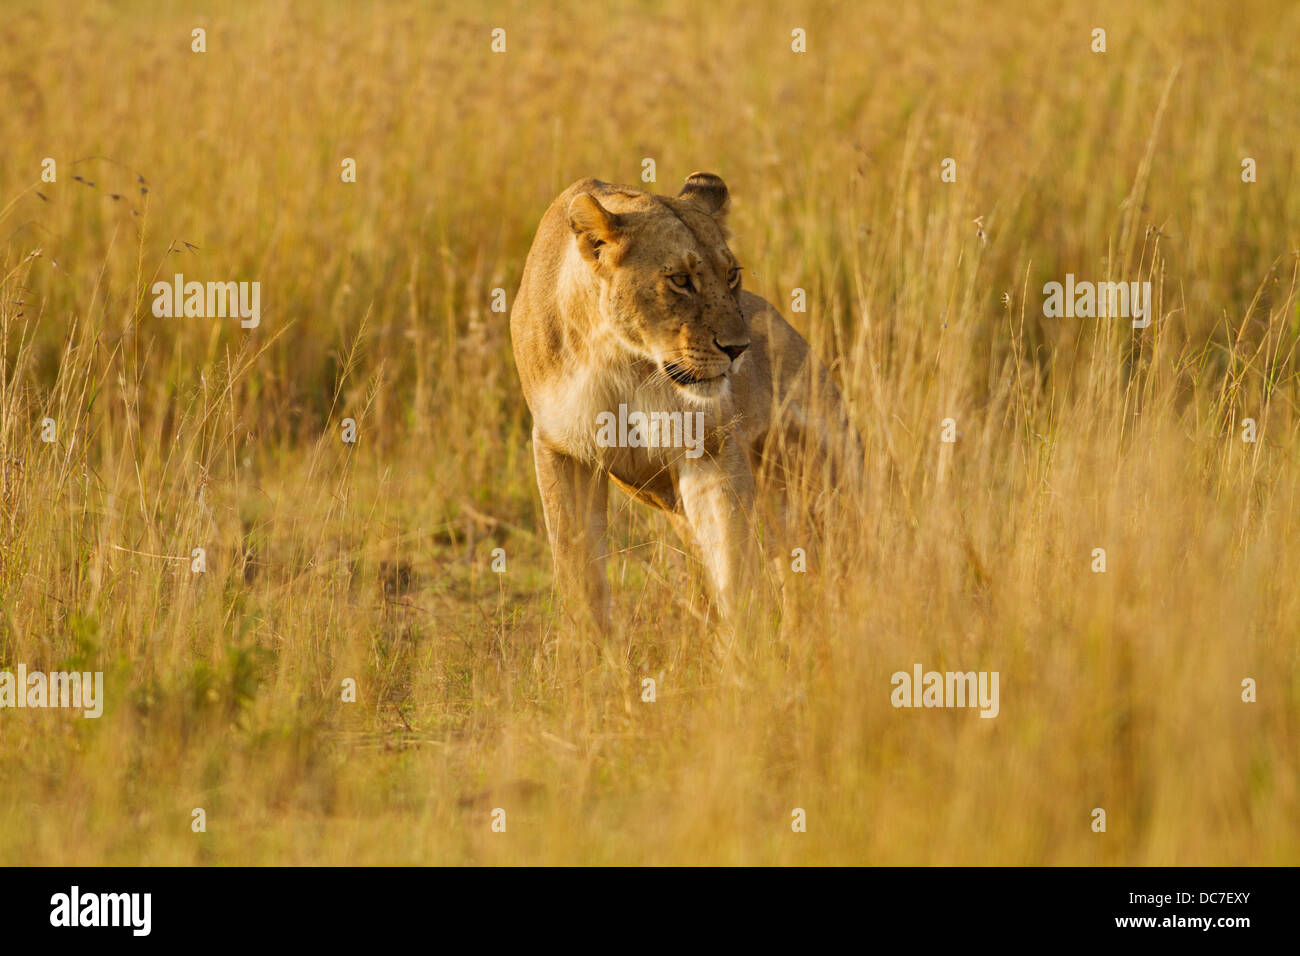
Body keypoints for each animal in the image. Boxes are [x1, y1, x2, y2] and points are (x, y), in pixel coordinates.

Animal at [510, 172, 861, 628]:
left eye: (731, 275)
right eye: (679, 280)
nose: (739, 348)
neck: (620, 357)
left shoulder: (711, 446)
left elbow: (733, 571)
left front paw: (746, 644)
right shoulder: (562, 450)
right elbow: (578, 576)